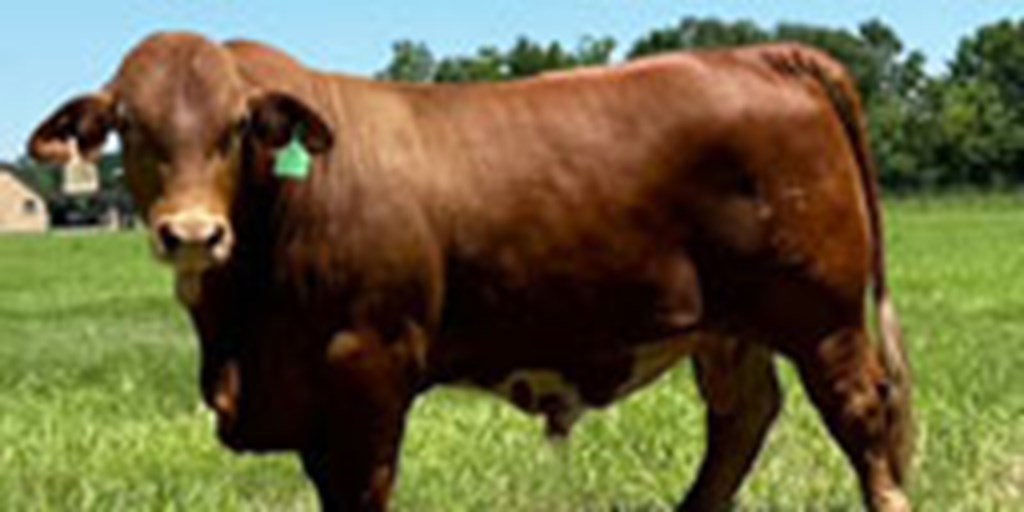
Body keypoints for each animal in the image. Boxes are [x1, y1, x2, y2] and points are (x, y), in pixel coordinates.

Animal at [28, 32, 912, 511]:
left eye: (238, 126)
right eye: (131, 126)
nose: (193, 233)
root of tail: (761, 54)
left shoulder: (368, 369)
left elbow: (363, 490)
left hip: (824, 319)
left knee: (862, 421)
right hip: (727, 327)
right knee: (741, 422)